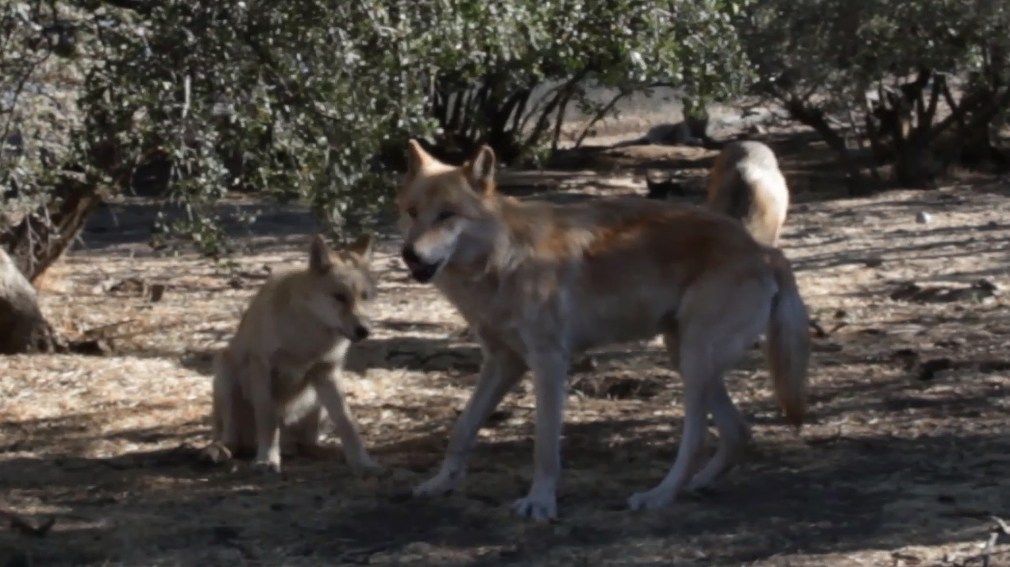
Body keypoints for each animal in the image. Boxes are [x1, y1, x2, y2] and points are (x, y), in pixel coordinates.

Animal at [209, 234, 381, 475]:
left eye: (365, 297)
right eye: (340, 297)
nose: (365, 331)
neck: (307, 332)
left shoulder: (326, 372)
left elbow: (347, 423)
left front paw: (362, 461)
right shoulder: (262, 366)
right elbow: (268, 420)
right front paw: (267, 460)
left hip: (318, 401)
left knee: (308, 445)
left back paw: (327, 452)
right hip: (223, 371)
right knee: (230, 440)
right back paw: (220, 452)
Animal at [397, 140, 809, 520]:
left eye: (446, 215)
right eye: (413, 213)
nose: (409, 254)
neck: (502, 259)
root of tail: (763, 251)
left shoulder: (548, 362)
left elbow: (544, 445)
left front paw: (540, 503)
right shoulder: (503, 362)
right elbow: (463, 428)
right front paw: (441, 483)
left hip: (694, 361)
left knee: (697, 438)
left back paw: (659, 495)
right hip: (685, 356)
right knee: (738, 432)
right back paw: (696, 485)